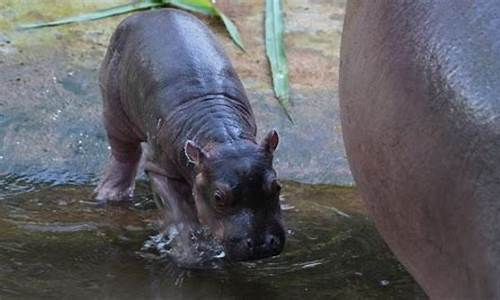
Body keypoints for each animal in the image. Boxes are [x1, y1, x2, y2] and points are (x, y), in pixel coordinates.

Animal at [94, 9, 286, 262]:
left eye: (276, 186)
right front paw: (191, 250)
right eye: (218, 197)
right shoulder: (160, 168)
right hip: (114, 108)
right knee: (123, 151)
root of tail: (152, 12)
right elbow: (176, 210)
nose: (262, 244)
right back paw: (110, 195)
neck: (222, 139)